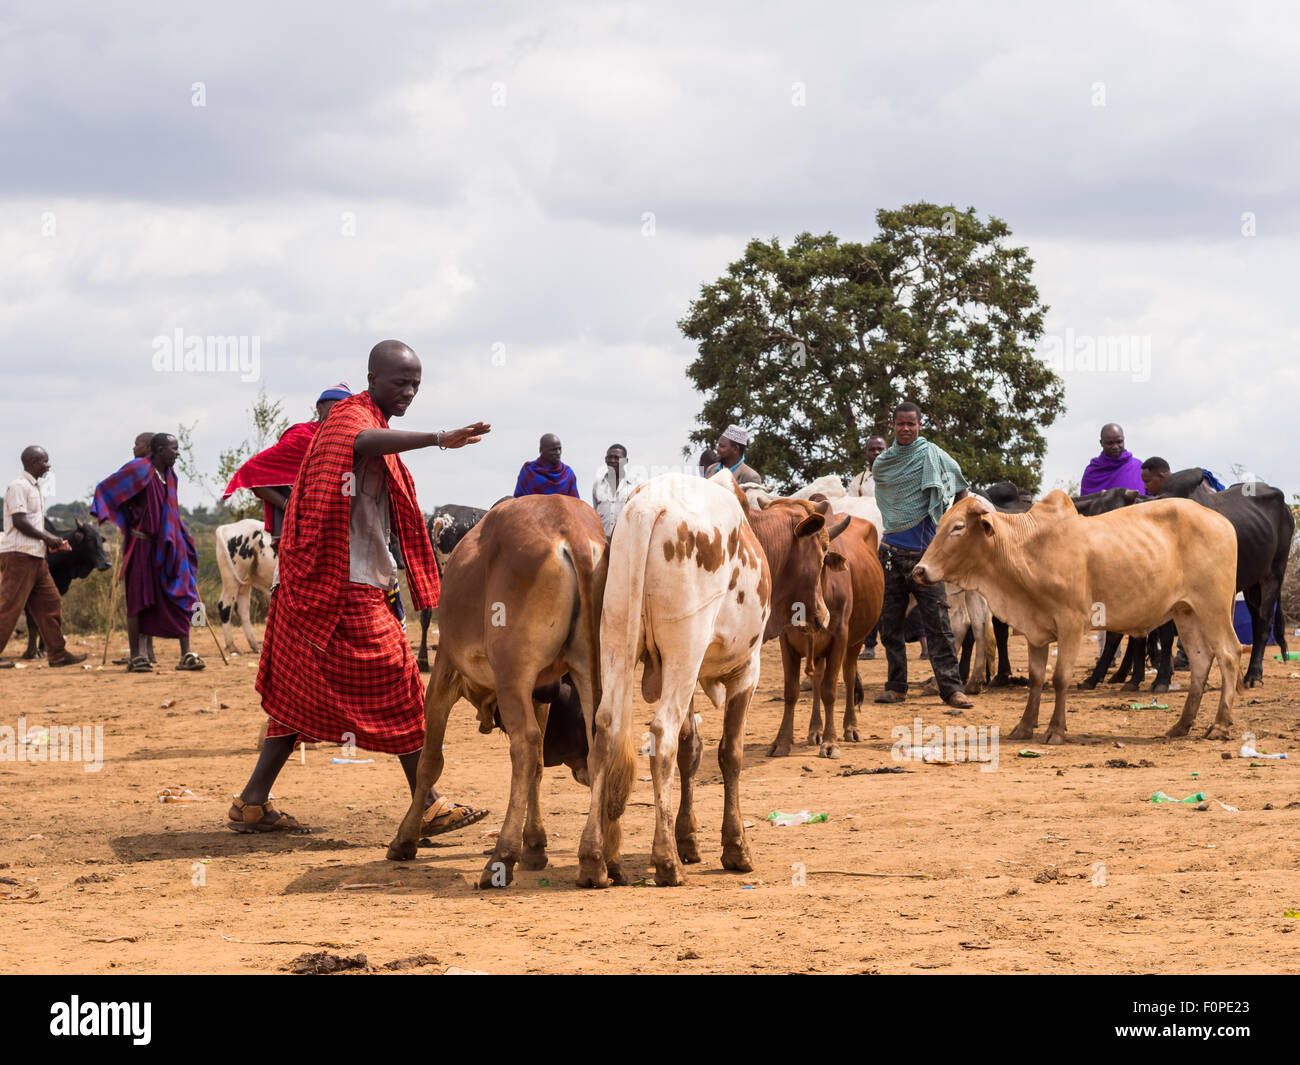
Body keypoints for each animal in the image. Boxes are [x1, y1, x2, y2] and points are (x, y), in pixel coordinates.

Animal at [19, 519, 112, 658]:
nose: (107, 563)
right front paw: (31, 652)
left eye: (101, 540)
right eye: (90, 538)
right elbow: (32, 622)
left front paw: (44, 650)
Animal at [214, 519, 277, 653]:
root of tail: (227, 527)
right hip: (232, 578)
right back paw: (232, 646)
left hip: (242, 583)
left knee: (243, 610)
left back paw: (254, 645)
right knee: (225, 605)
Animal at [577, 472, 770, 889]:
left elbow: (691, 749)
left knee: (605, 729)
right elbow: (730, 753)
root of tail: (649, 507)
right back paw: (666, 861)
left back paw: (593, 860)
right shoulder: (747, 669)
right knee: (662, 732)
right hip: (687, 647)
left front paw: (689, 840)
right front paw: (735, 847)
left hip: (617, 637)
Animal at [912, 492, 1242, 742]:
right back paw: (1181, 725)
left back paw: (1220, 724)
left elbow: (1059, 679)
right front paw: (1024, 726)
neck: (1026, 549)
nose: (919, 570)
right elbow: (1036, 679)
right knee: (1201, 661)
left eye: (958, 527)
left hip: (1213, 608)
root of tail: (1223, 521)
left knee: (1228, 654)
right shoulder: (1036, 631)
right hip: (1186, 613)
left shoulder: (1071, 624)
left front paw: (1055, 730)